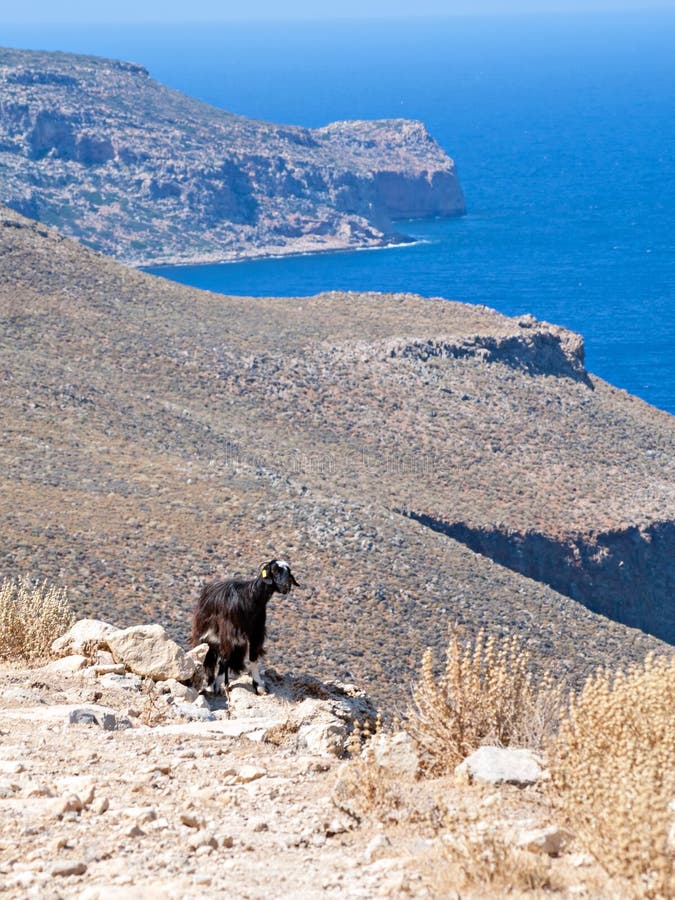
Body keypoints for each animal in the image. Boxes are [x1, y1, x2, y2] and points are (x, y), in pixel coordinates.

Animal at [190, 559, 298, 695]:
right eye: (274, 570)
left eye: (289, 572)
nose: (286, 587)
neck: (250, 598)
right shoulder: (228, 633)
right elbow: (223, 659)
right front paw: (217, 686)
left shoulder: (256, 632)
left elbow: (253, 658)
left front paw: (259, 685)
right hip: (204, 633)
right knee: (211, 657)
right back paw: (212, 685)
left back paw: (225, 683)